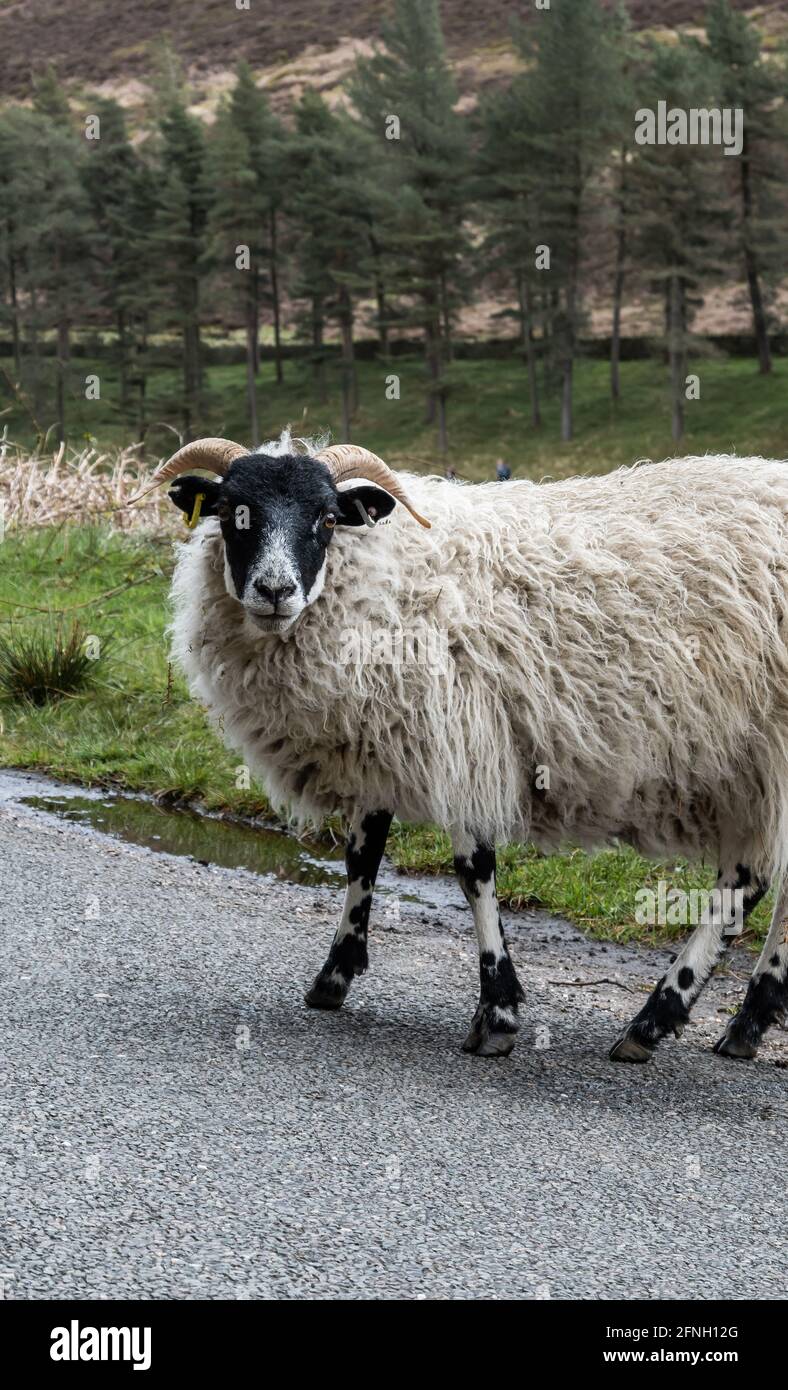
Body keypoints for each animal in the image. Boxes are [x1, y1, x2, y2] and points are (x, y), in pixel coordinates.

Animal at [141, 430, 788, 1065]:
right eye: (231, 511)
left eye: (326, 517)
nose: (275, 591)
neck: (389, 578)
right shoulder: (377, 740)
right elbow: (362, 857)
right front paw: (334, 977)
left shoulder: (462, 739)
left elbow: (474, 872)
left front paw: (496, 1012)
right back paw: (747, 1023)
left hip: (769, 749)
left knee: (747, 880)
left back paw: (657, 1017)